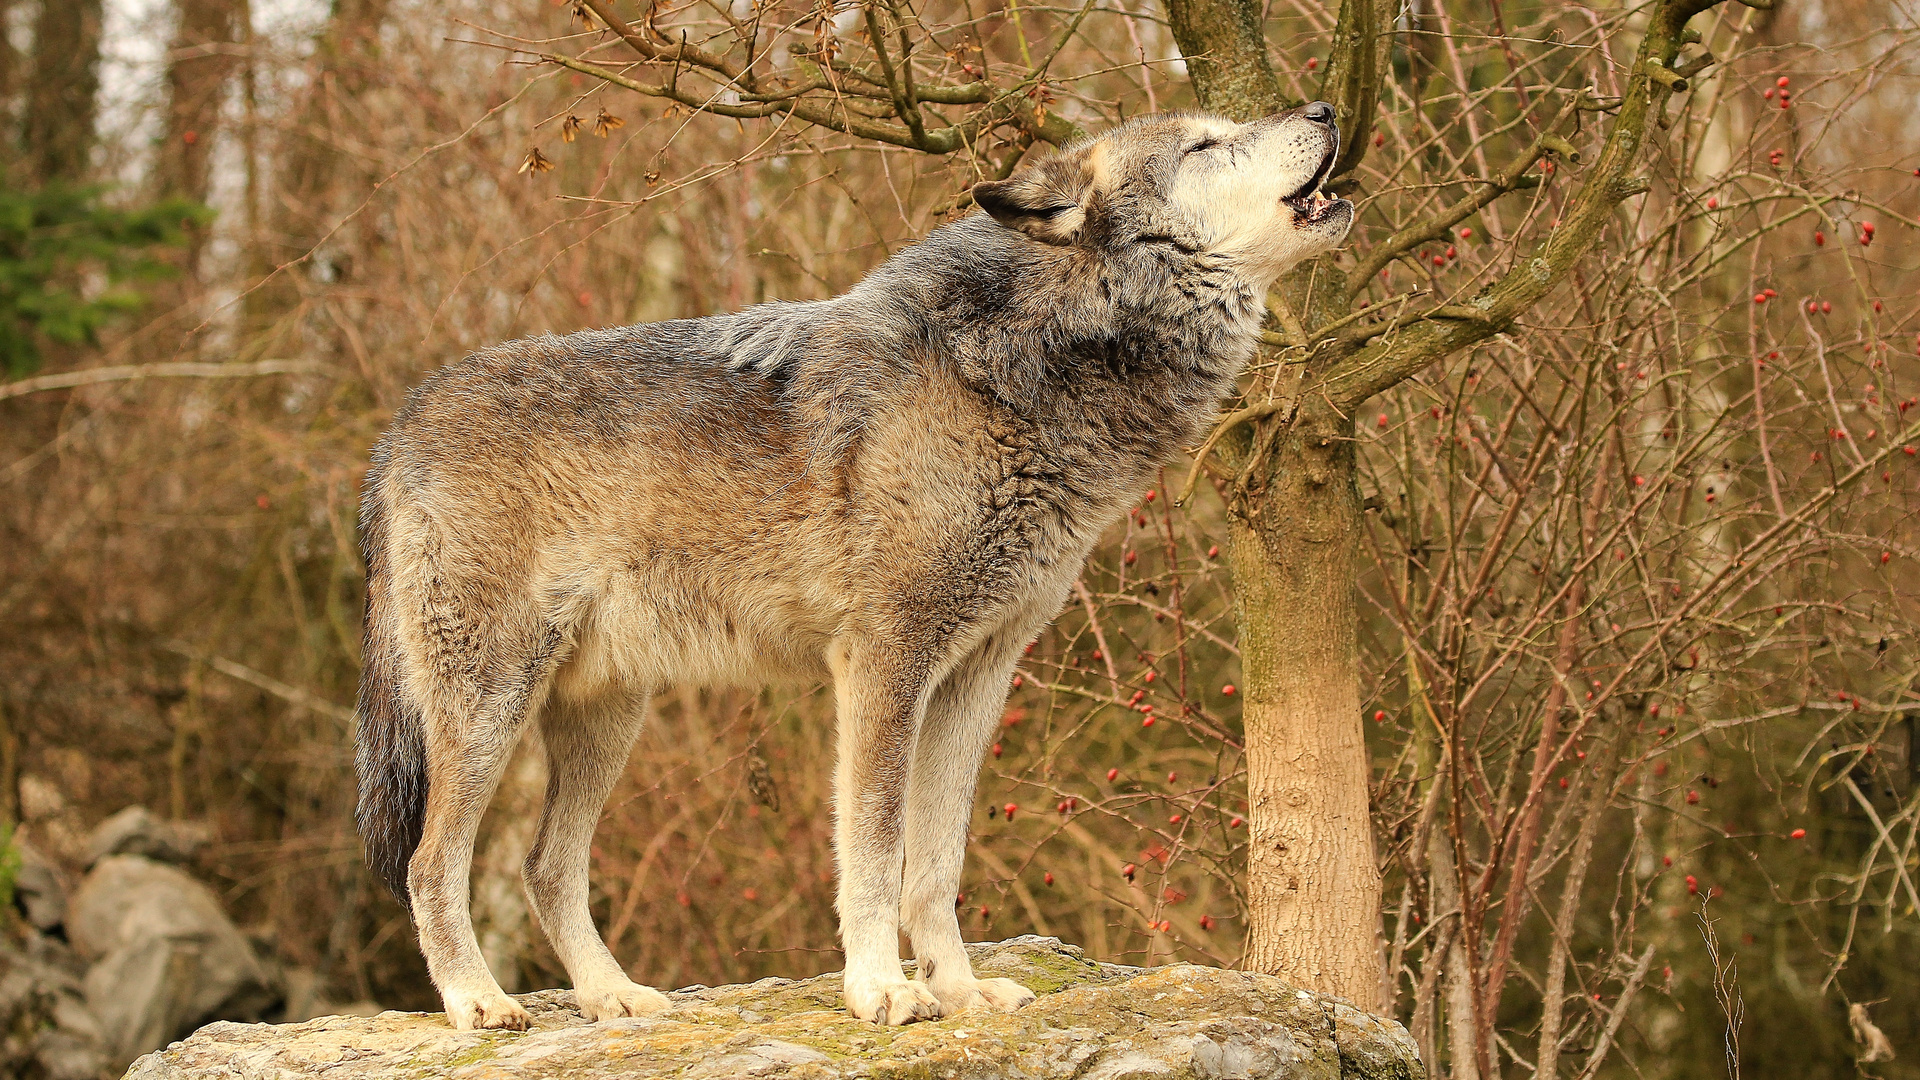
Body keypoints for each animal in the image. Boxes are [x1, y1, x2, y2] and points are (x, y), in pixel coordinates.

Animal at [357, 105, 1351, 1030]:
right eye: (1203, 146)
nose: (1323, 110)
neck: (1019, 368)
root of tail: (401, 423)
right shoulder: (884, 662)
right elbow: (875, 846)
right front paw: (881, 990)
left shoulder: (979, 676)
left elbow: (937, 861)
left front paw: (957, 989)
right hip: (491, 705)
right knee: (430, 862)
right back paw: (477, 1002)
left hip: (606, 717)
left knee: (543, 865)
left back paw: (613, 997)